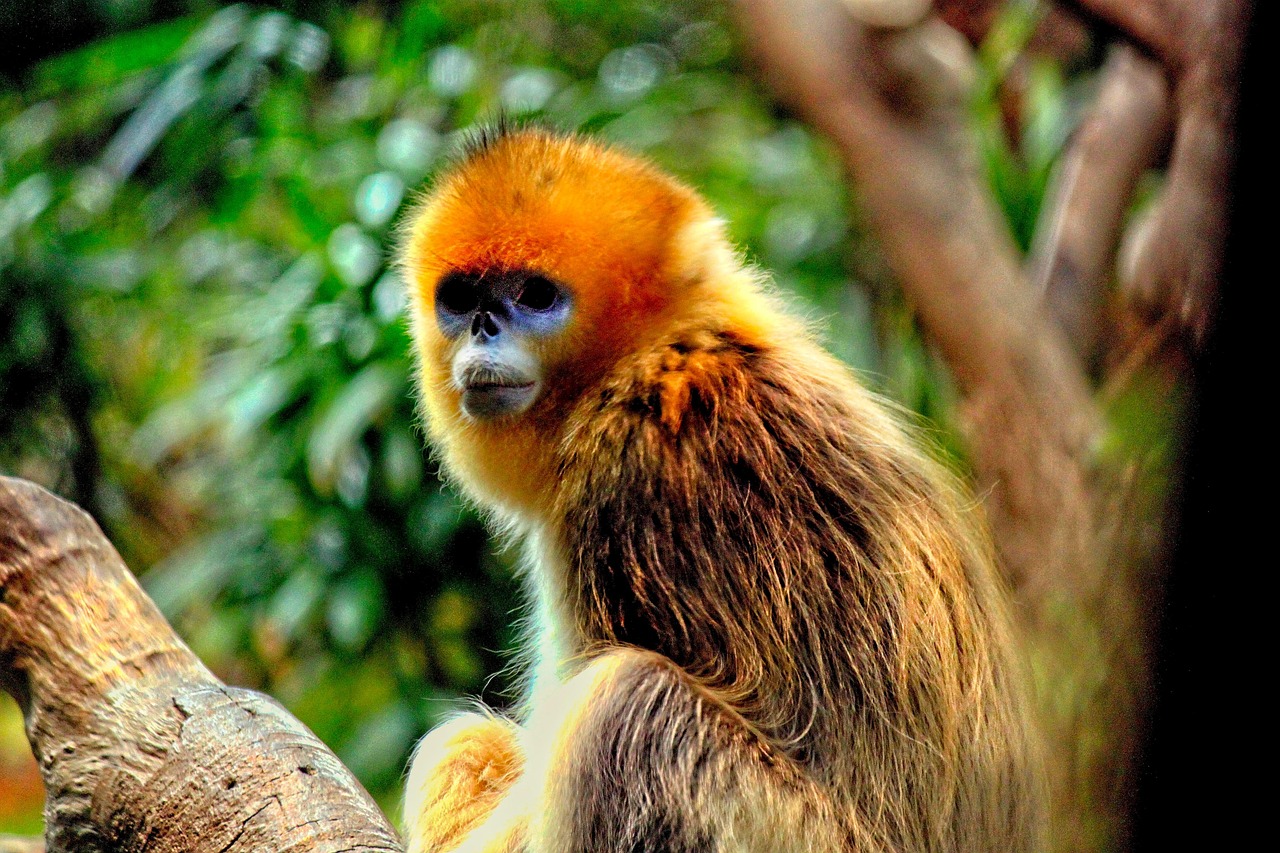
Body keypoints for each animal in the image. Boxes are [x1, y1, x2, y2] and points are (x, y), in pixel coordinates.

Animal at [398, 125, 1044, 853]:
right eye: (460, 297)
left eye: (536, 296)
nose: (484, 325)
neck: (658, 363)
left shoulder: (621, 495)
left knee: (619, 709)